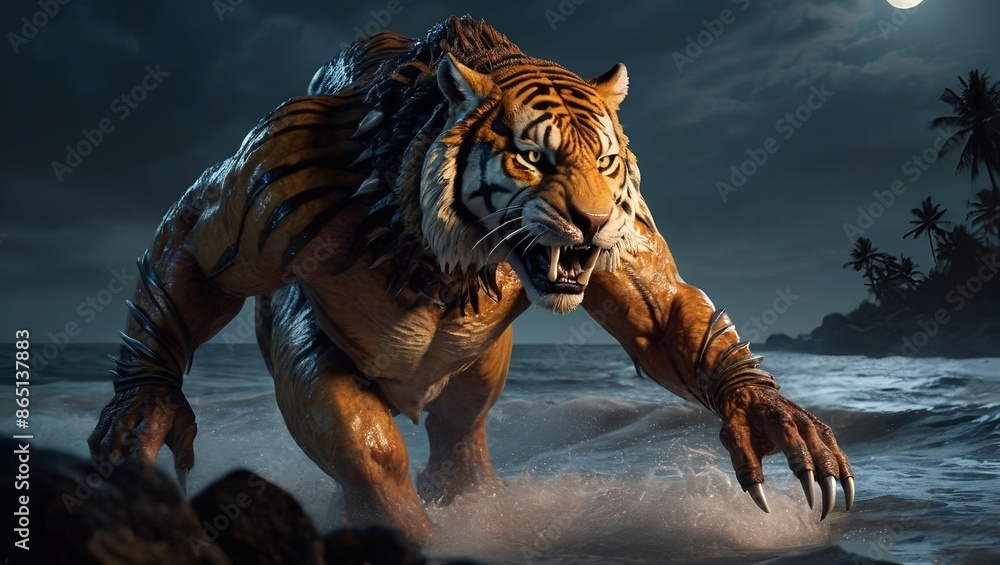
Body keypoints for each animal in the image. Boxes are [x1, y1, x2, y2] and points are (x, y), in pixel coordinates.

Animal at [89, 15, 854, 543]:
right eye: (533, 157)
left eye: (605, 161)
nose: (594, 221)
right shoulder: (266, 182)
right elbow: (191, 256)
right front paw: (143, 412)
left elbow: (664, 308)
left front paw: (767, 412)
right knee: (366, 444)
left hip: (479, 373)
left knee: (460, 428)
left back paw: (477, 502)